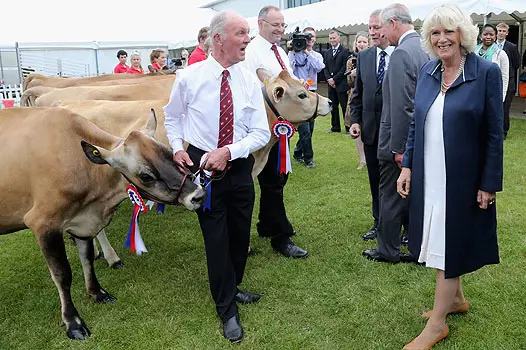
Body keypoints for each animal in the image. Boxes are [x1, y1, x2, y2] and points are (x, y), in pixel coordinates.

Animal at [0, 106, 205, 340]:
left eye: (170, 153)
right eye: (146, 175)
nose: (198, 195)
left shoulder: (82, 222)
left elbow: (87, 259)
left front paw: (97, 292)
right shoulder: (43, 223)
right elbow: (62, 274)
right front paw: (73, 322)